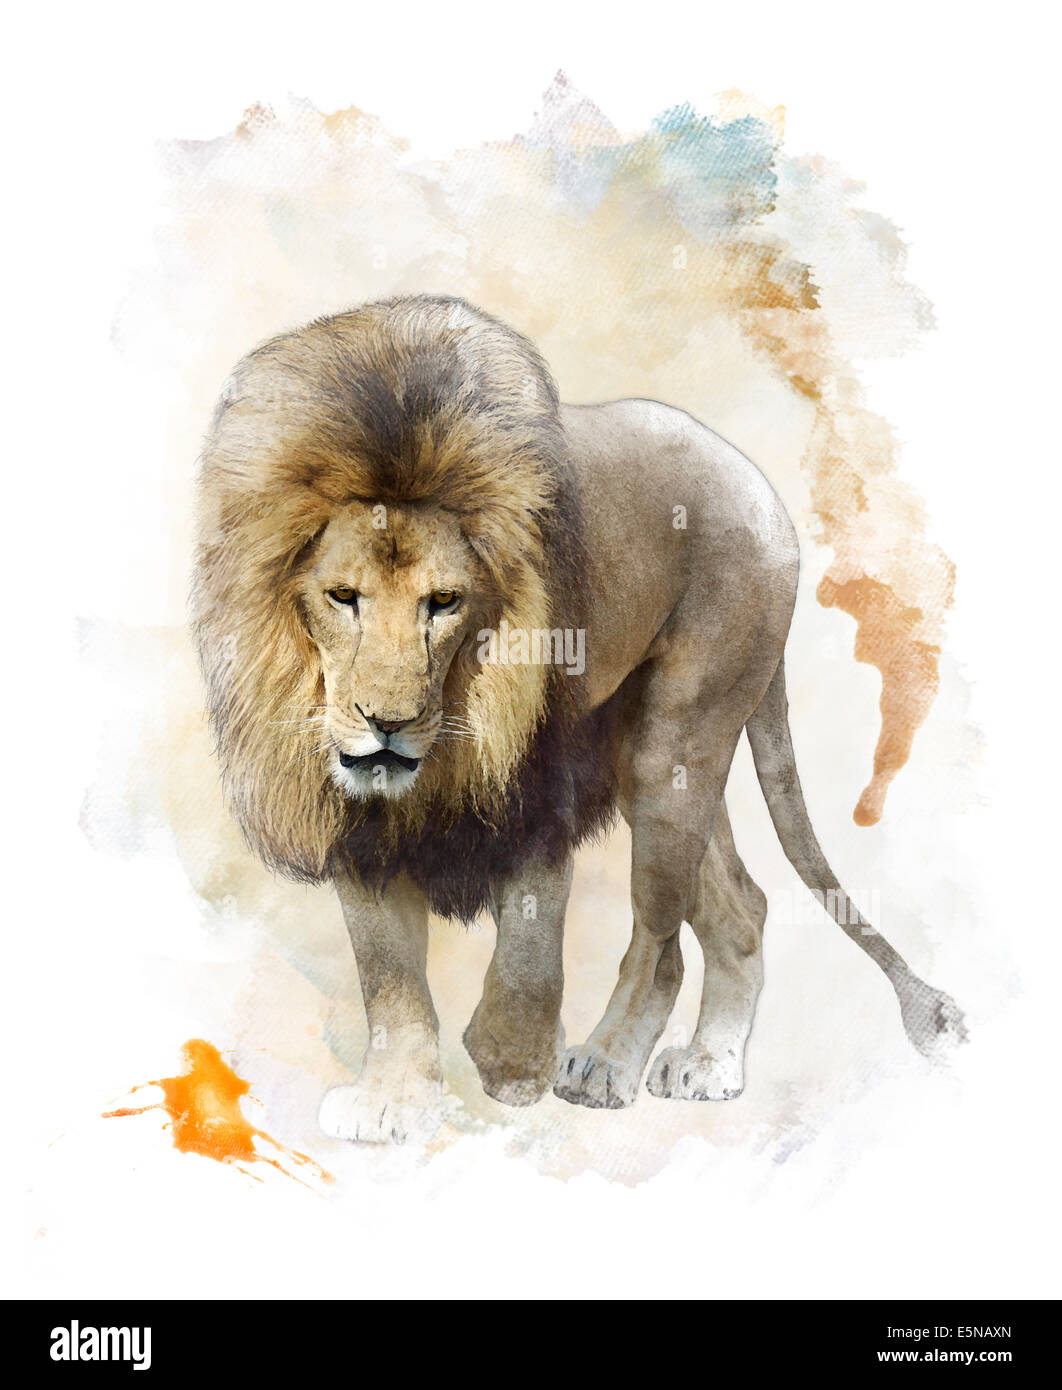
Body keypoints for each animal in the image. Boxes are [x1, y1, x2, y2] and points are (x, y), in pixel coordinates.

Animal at [193, 293, 965, 1143]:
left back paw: (604, 1062)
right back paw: (713, 1063)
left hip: (676, 743)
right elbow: (389, 978)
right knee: (743, 906)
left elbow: (531, 949)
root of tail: (759, 487)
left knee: (662, 943)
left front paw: (512, 1060)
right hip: (649, 755)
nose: (387, 722)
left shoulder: (535, 789)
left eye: (445, 602)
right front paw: (392, 1099)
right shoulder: (357, 826)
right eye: (341, 597)